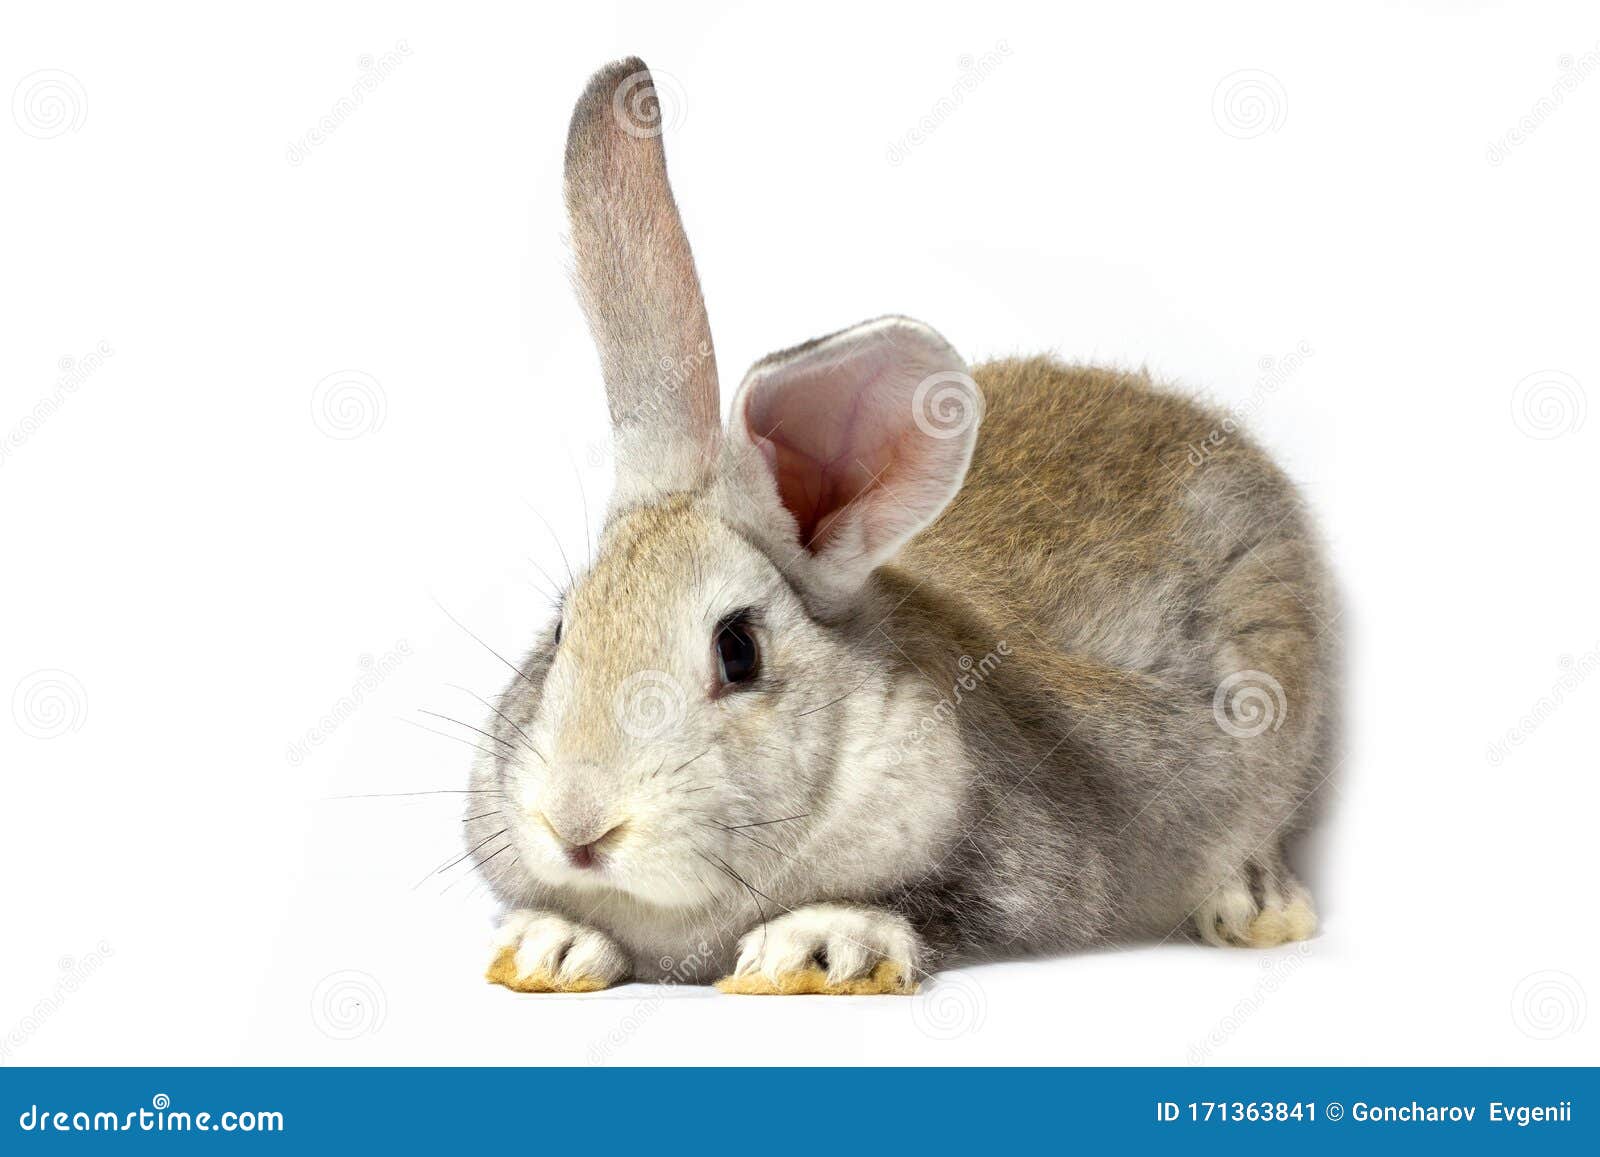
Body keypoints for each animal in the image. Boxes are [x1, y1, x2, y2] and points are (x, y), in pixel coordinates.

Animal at [466, 58, 1336, 995]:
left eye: (739, 650)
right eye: (561, 630)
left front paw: (812, 948)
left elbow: (913, 907)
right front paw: (548, 946)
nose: (577, 824)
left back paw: (1256, 907)